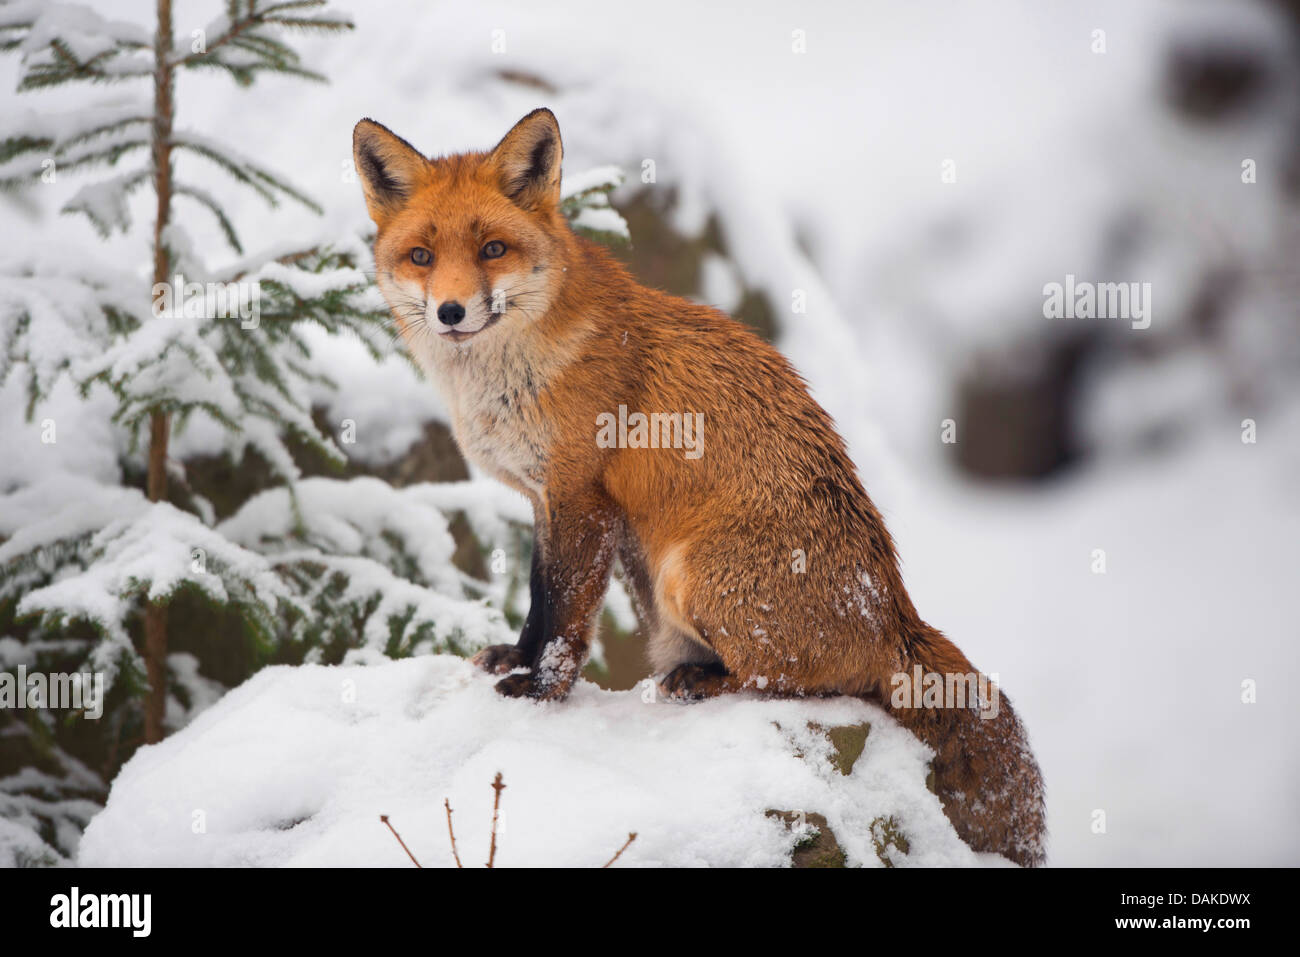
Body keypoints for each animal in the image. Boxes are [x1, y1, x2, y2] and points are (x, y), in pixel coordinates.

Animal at [352, 108, 1047, 866]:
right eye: (422, 256)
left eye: (493, 248)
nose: (451, 311)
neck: (514, 377)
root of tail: (897, 614)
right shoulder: (543, 498)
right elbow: (539, 599)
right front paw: (515, 658)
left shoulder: (583, 496)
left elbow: (566, 615)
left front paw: (542, 691)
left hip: (690, 576)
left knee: (812, 685)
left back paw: (701, 681)